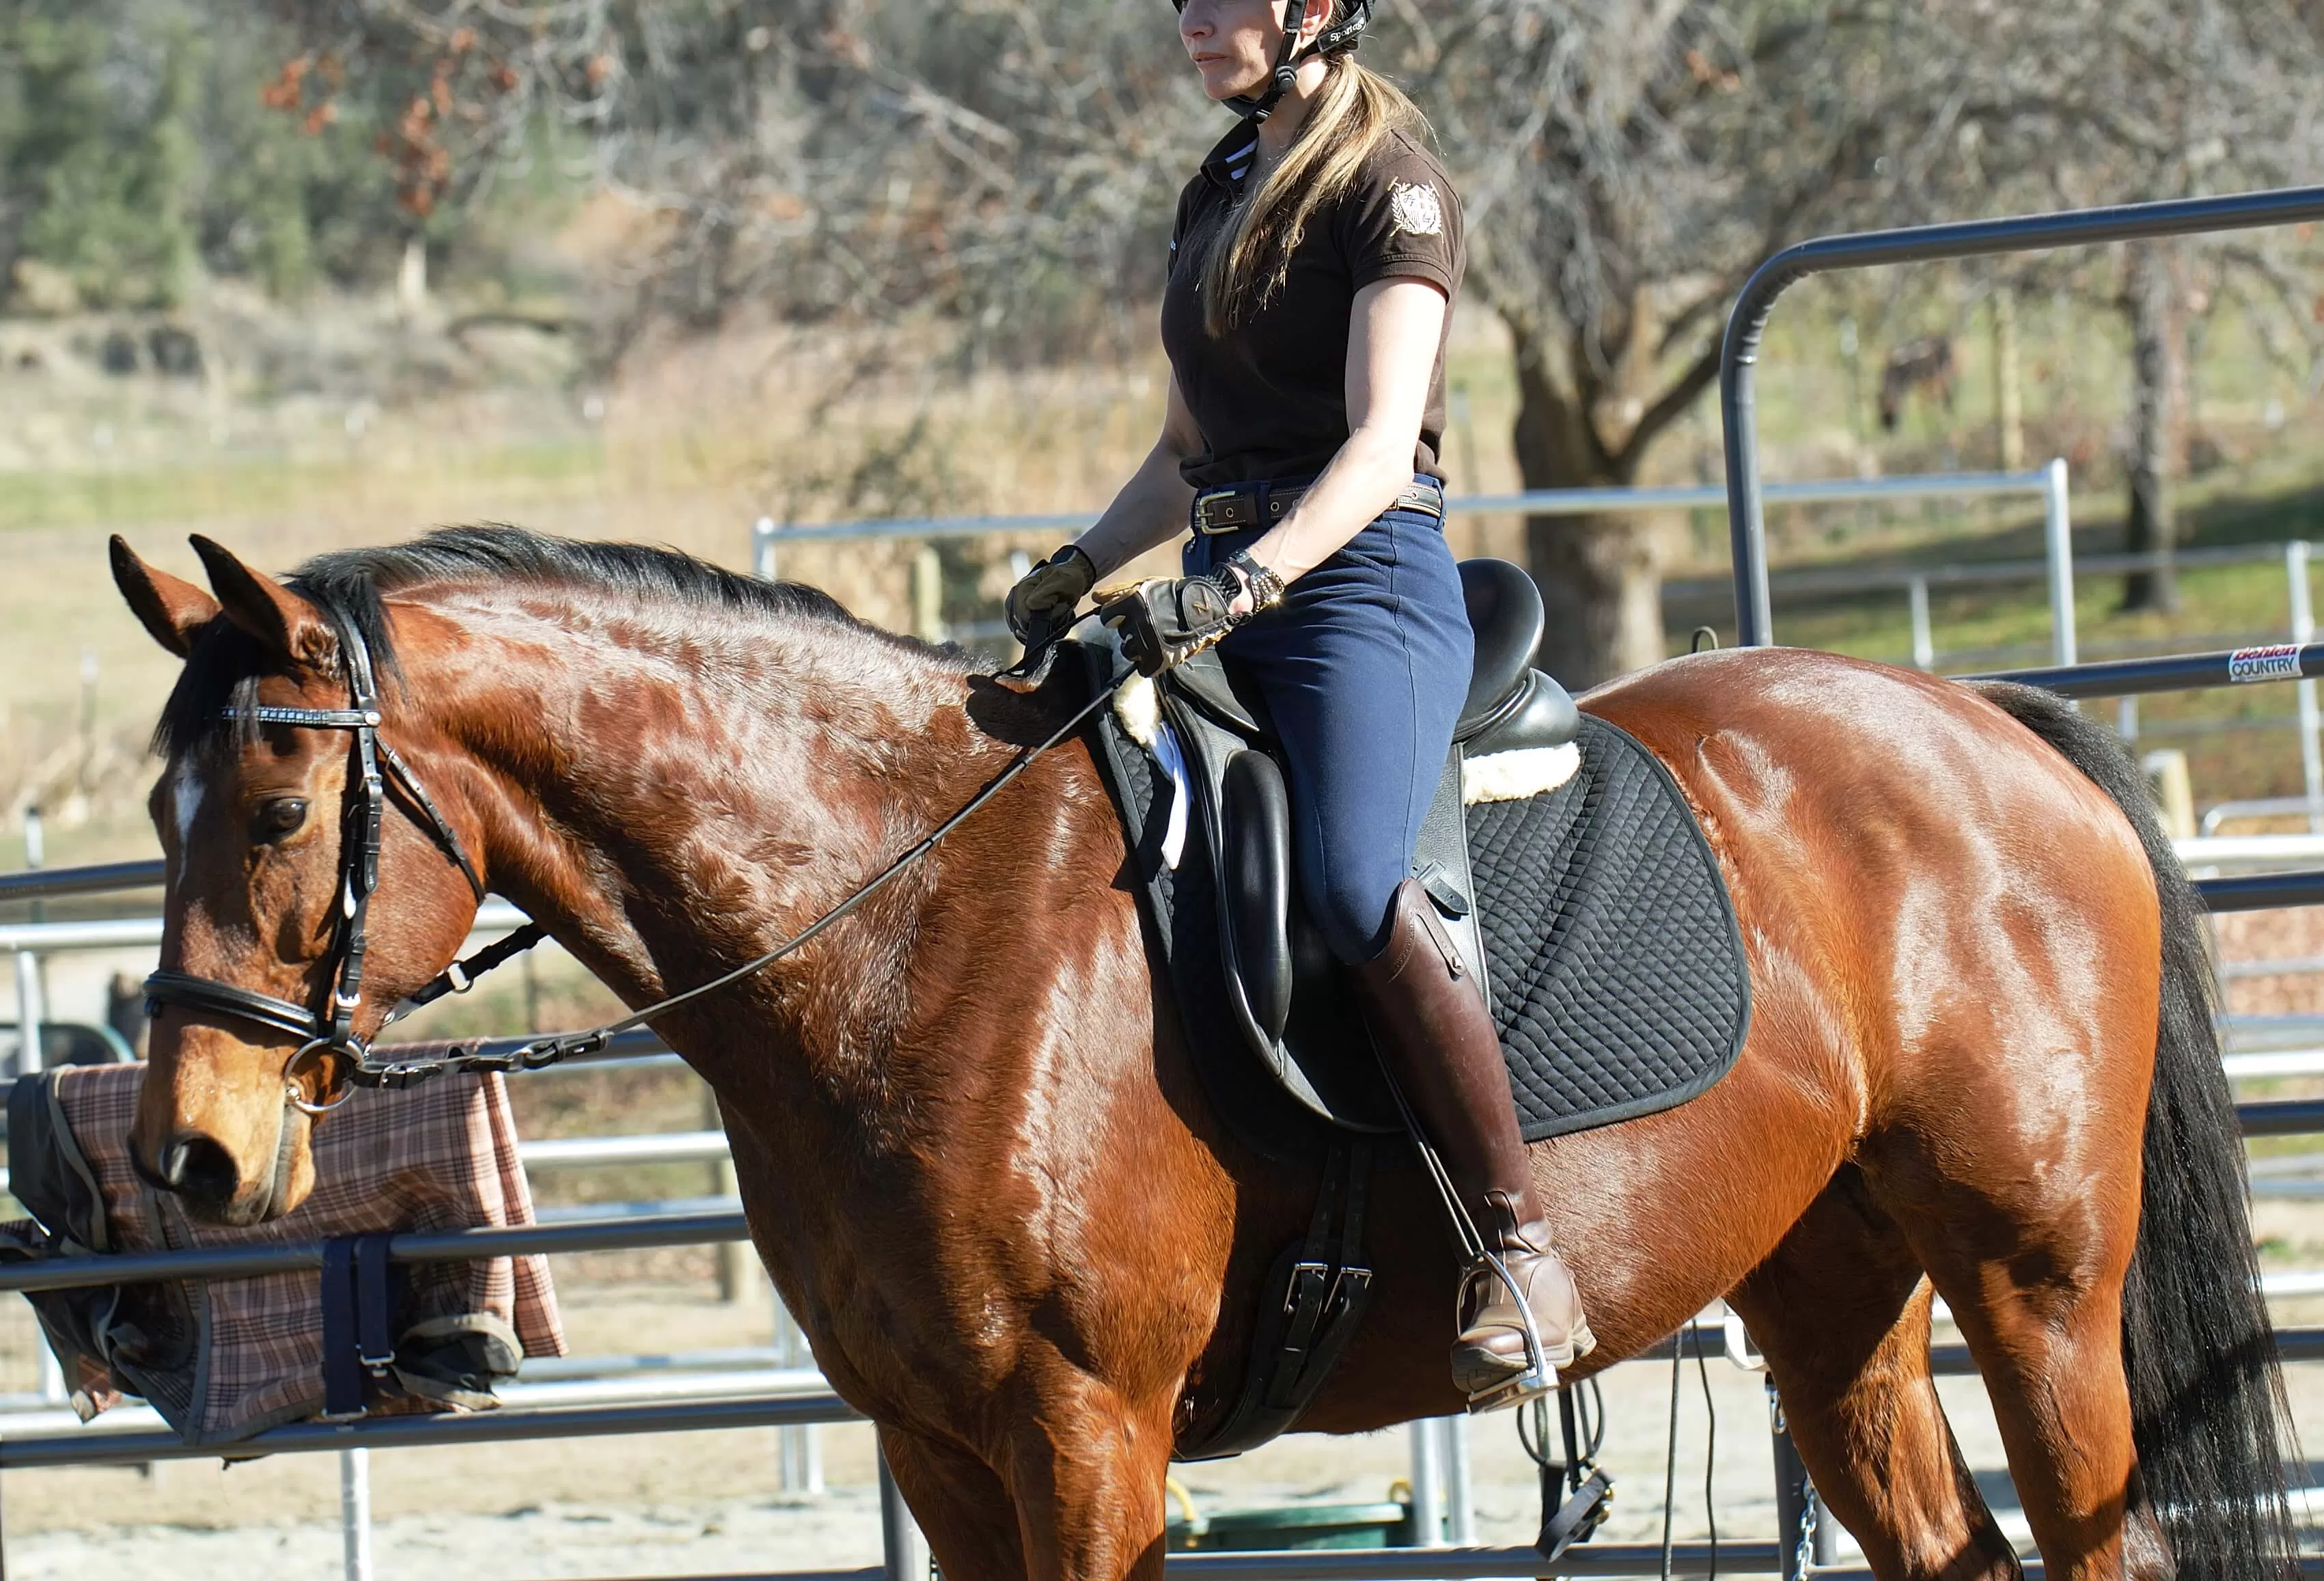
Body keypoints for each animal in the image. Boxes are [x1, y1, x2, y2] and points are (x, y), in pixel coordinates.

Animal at [109, 525, 2286, 1571]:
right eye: (156, 812)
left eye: (278, 812)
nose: (190, 1157)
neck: (902, 919)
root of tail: (1986, 719)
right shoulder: (943, 1450)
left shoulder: (1083, 1431)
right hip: (1837, 1309)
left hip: (2037, 1291)